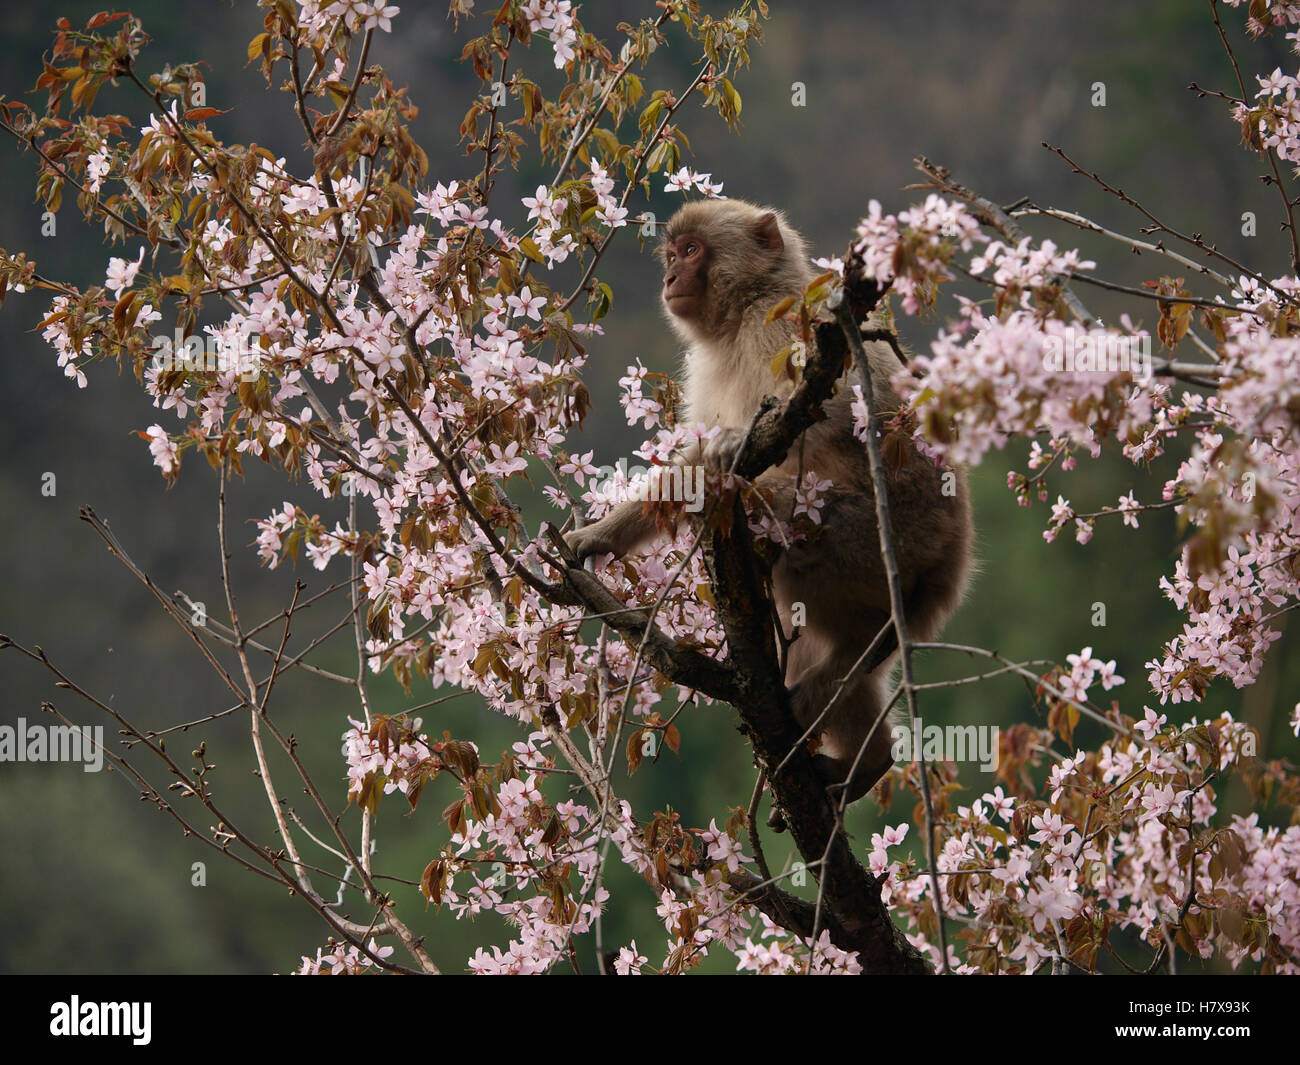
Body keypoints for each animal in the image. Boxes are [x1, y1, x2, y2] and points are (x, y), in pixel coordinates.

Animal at [565, 199, 973, 803]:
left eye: (692, 251)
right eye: (672, 253)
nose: (669, 278)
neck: (738, 317)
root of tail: (951, 565)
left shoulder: (779, 321)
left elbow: (830, 411)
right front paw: (600, 538)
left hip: (884, 541)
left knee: (786, 524)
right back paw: (868, 750)